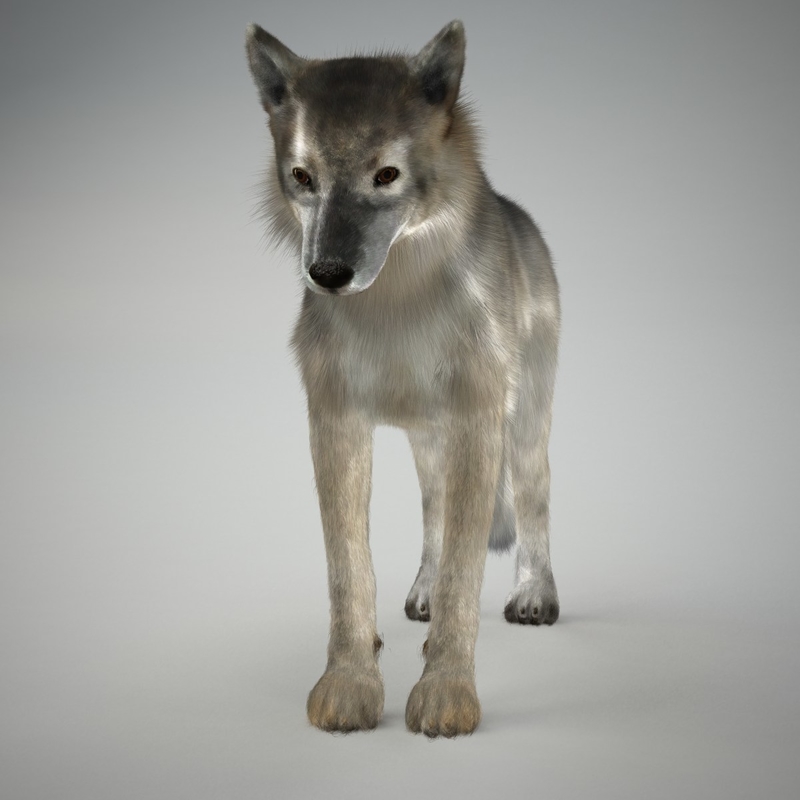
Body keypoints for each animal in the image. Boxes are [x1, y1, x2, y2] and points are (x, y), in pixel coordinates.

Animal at [245, 19, 560, 737]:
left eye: (385, 175)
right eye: (303, 177)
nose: (327, 273)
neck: (394, 308)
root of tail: (522, 219)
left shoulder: (476, 422)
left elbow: (466, 576)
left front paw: (446, 694)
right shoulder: (334, 422)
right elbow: (349, 571)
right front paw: (349, 683)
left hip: (523, 426)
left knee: (532, 503)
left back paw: (535, 595)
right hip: (427, 439)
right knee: (433, 512)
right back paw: (420, 594)